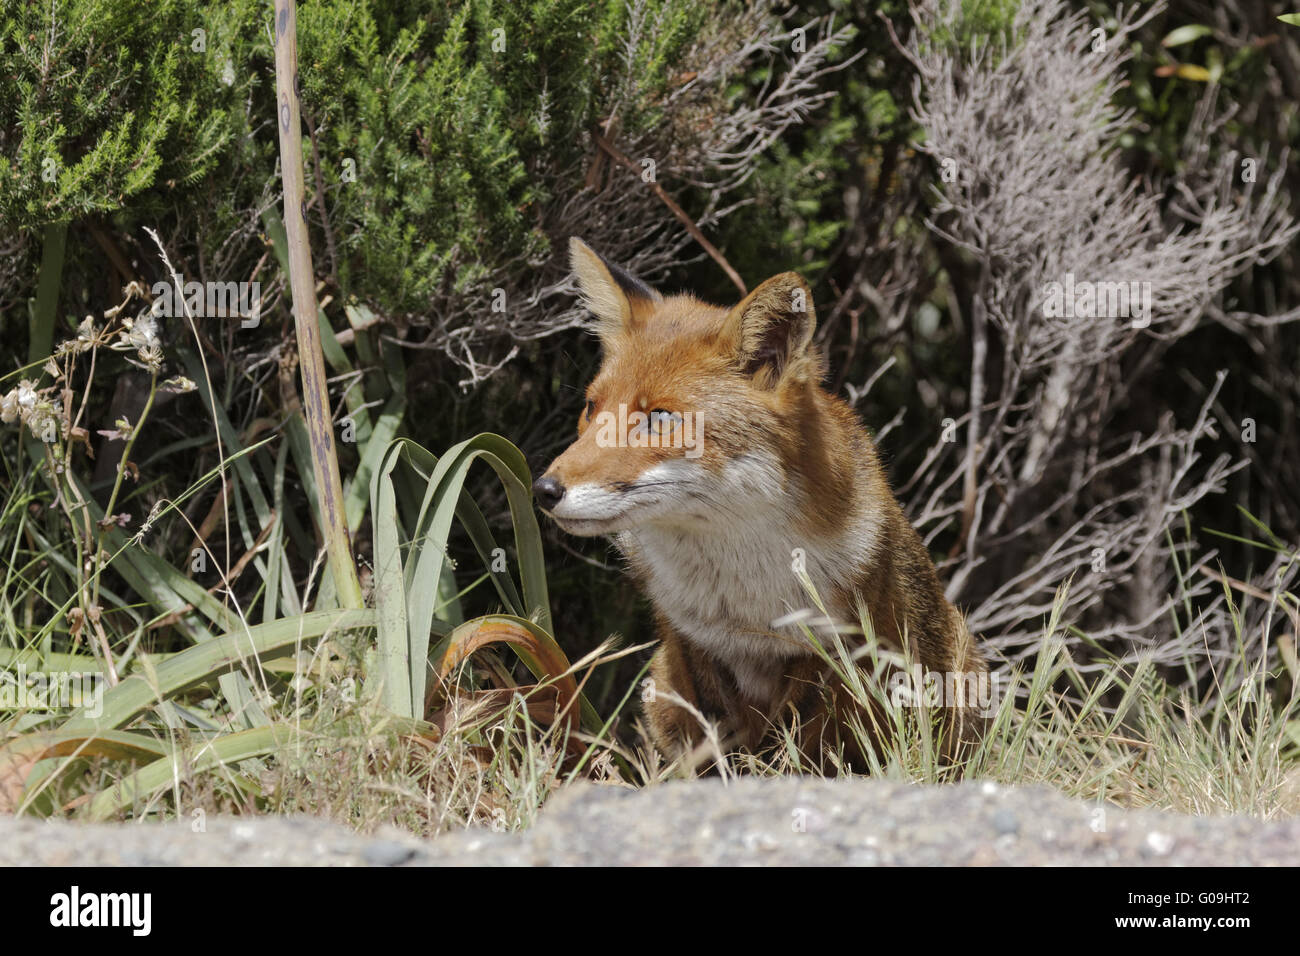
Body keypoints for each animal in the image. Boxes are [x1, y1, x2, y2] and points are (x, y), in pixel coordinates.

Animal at [533, 237, 990, 770]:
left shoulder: (827, 651)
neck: (740, 594)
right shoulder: (693, 643)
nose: (544, 490)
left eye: (660, 419)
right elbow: (720, 745)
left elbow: (790, 749)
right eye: (592, 408)